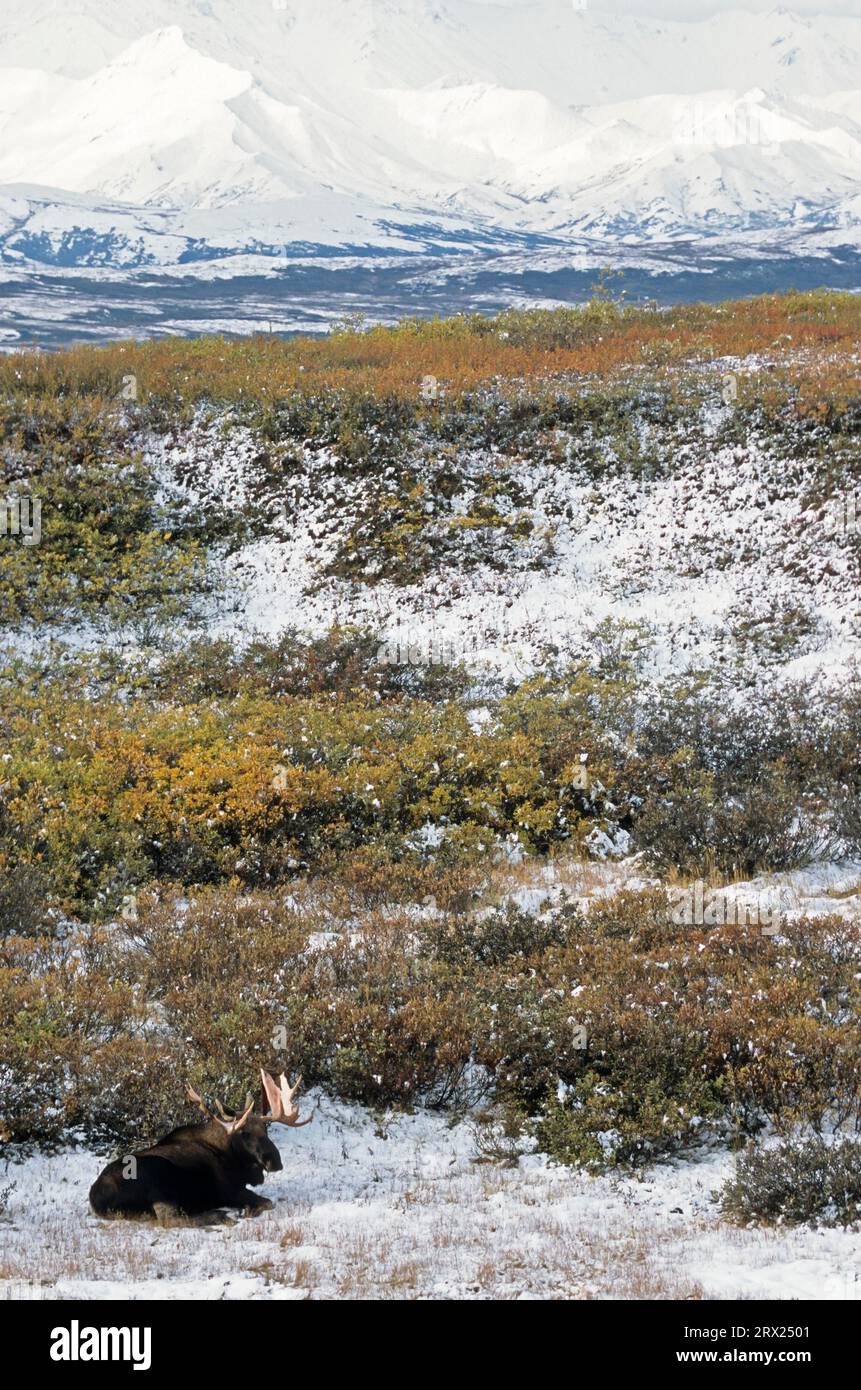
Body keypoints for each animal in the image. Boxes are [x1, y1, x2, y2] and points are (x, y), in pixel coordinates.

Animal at [89, 1070, 311, 1224]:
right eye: (243, 1132)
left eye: (265, 1128)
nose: (274, 1161)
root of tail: (96, 1198)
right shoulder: (228, 1190)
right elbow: (266, 1202)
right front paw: (246, 1210)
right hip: (160, 1183)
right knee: (171, 1220)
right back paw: (220, 1215)